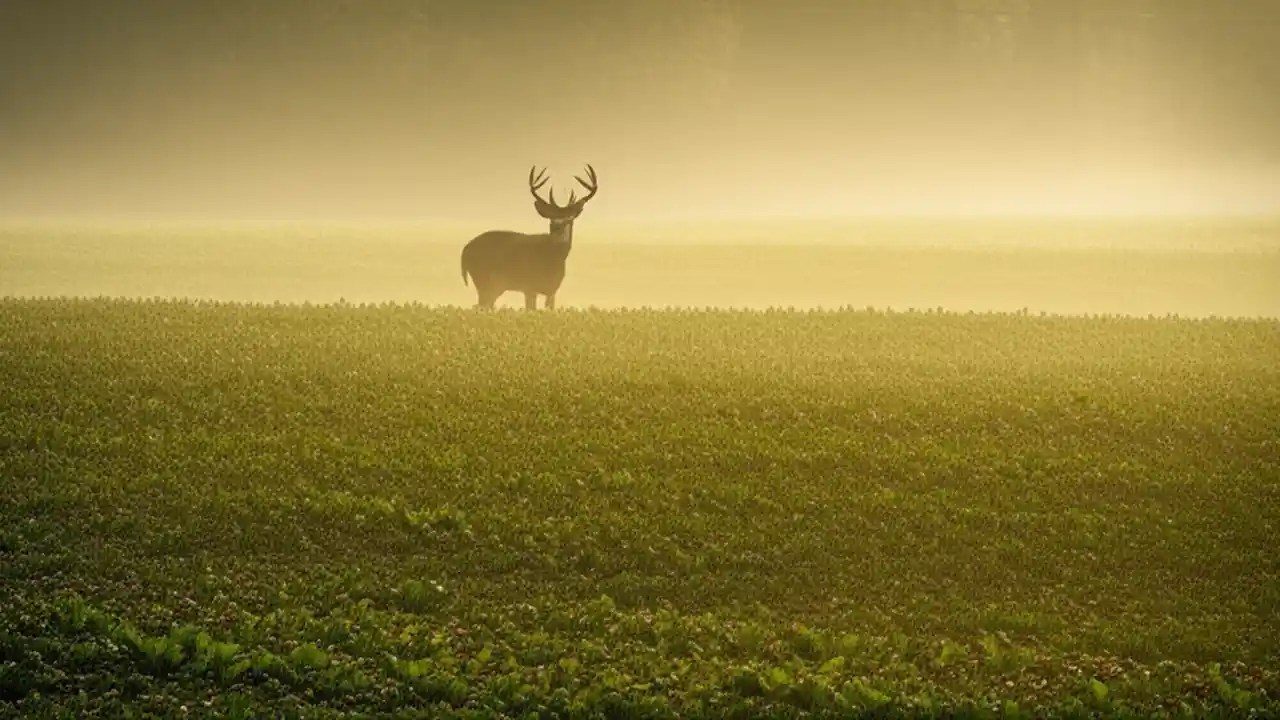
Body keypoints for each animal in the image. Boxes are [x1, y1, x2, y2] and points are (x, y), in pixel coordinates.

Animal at [460, 164, 599, 310]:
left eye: (569, 218)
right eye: (550, 217)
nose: (557, 226)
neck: (553, 258)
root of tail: (465, 251)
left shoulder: (552, 290)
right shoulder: (529, 285)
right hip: (484, 278)